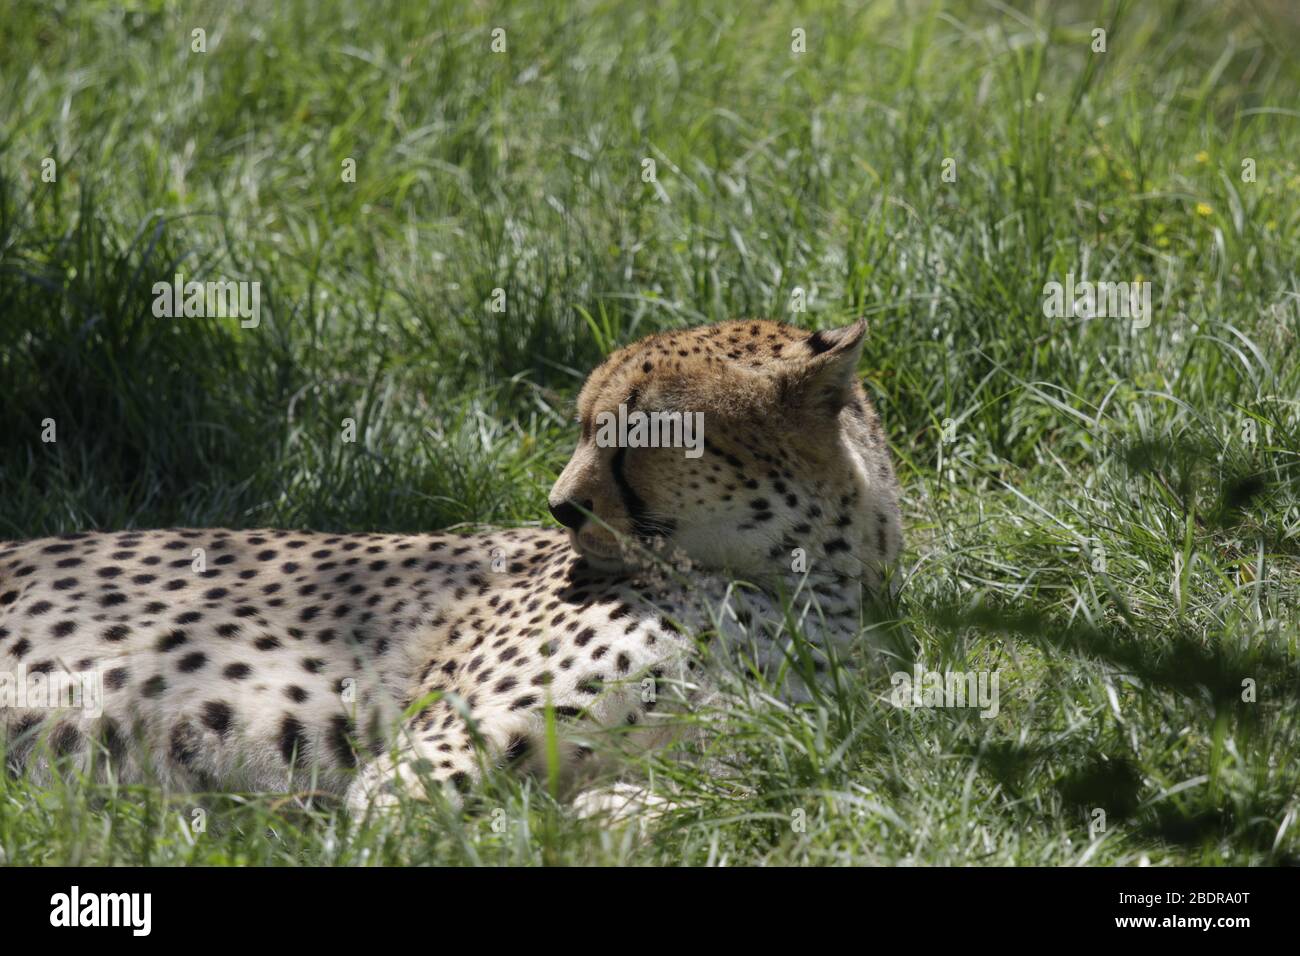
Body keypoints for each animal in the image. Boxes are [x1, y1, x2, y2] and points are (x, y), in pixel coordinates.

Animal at [0, 318, 902, 814]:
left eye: (645, 437)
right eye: (584, 425)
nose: (561, 506)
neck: (796, 582)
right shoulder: (435, 749)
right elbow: (410, 819)